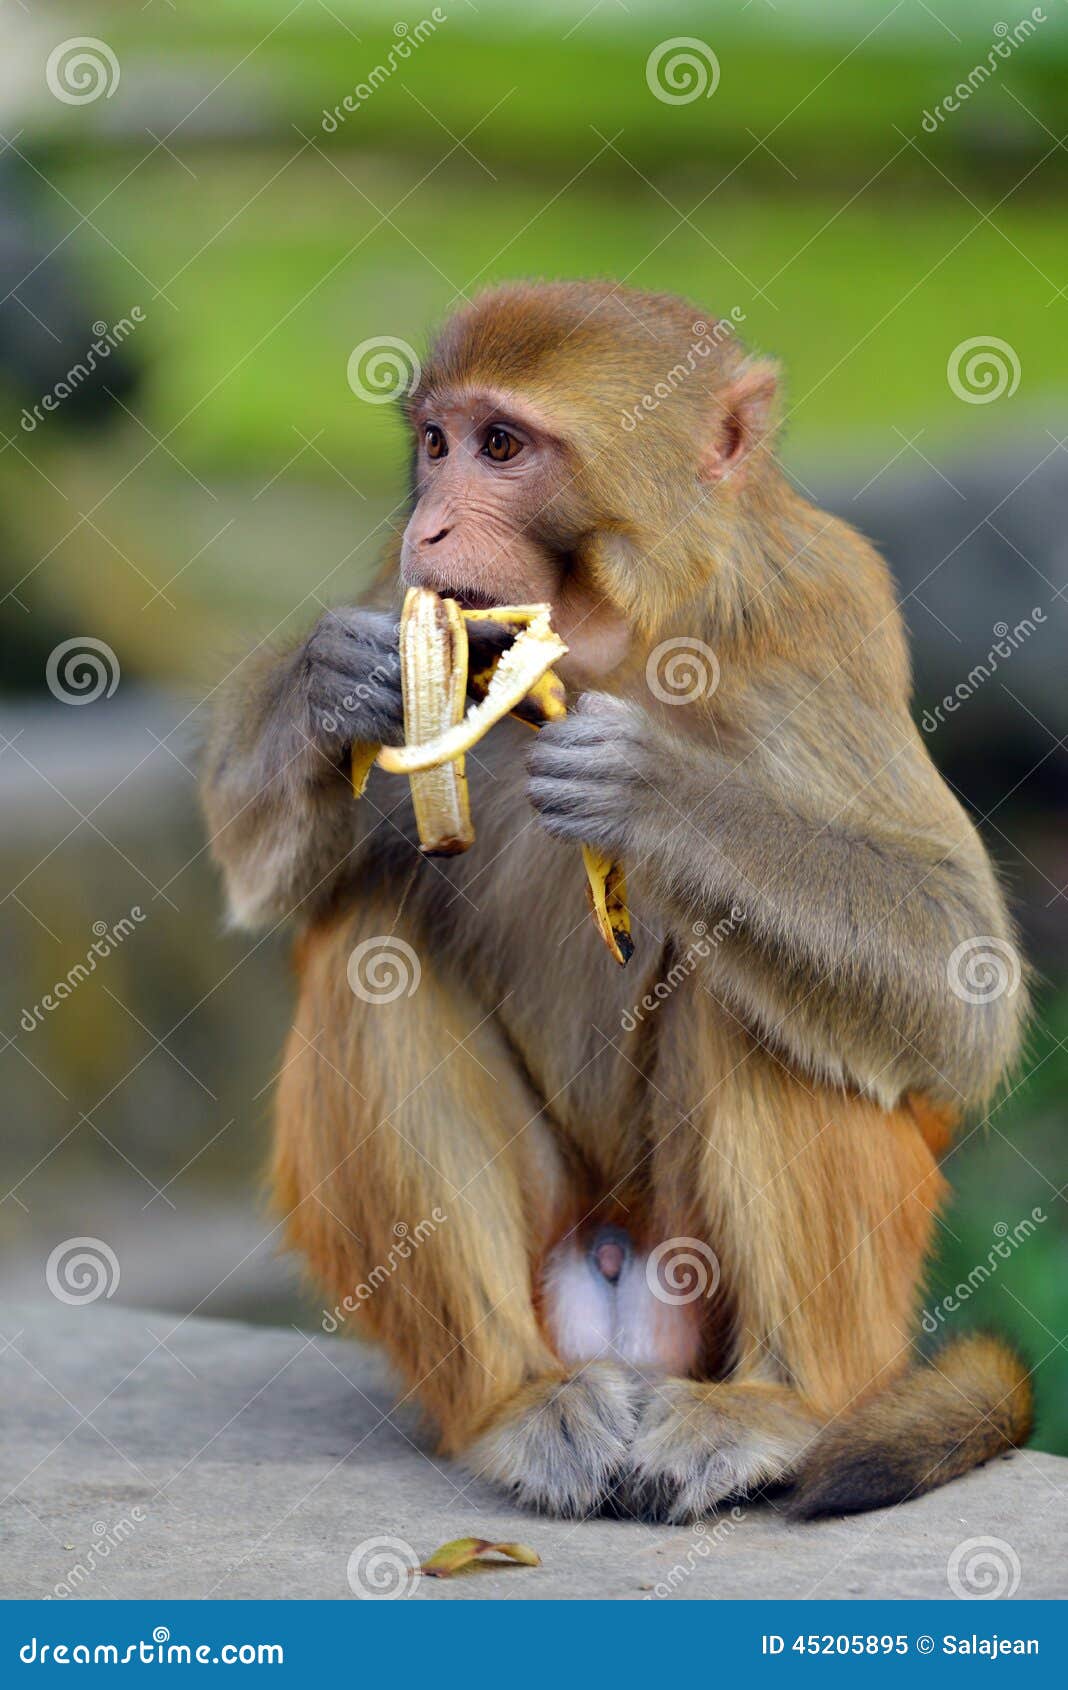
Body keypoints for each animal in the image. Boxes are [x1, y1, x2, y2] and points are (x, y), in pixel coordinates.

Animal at [201, 280, 1033, 1523]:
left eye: (502, 447)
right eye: (436, 444)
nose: (428, 529)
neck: (611, 635)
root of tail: (618, 1279)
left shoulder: (824, 608)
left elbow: (960, 986)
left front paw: (659, 795)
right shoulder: (409, 601)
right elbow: (263, 876)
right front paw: (329, 685)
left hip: (749, 1285)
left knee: (758, 995)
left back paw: (778, 1403)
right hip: (546, 1263)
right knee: (371, 946)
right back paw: (516, 1400)